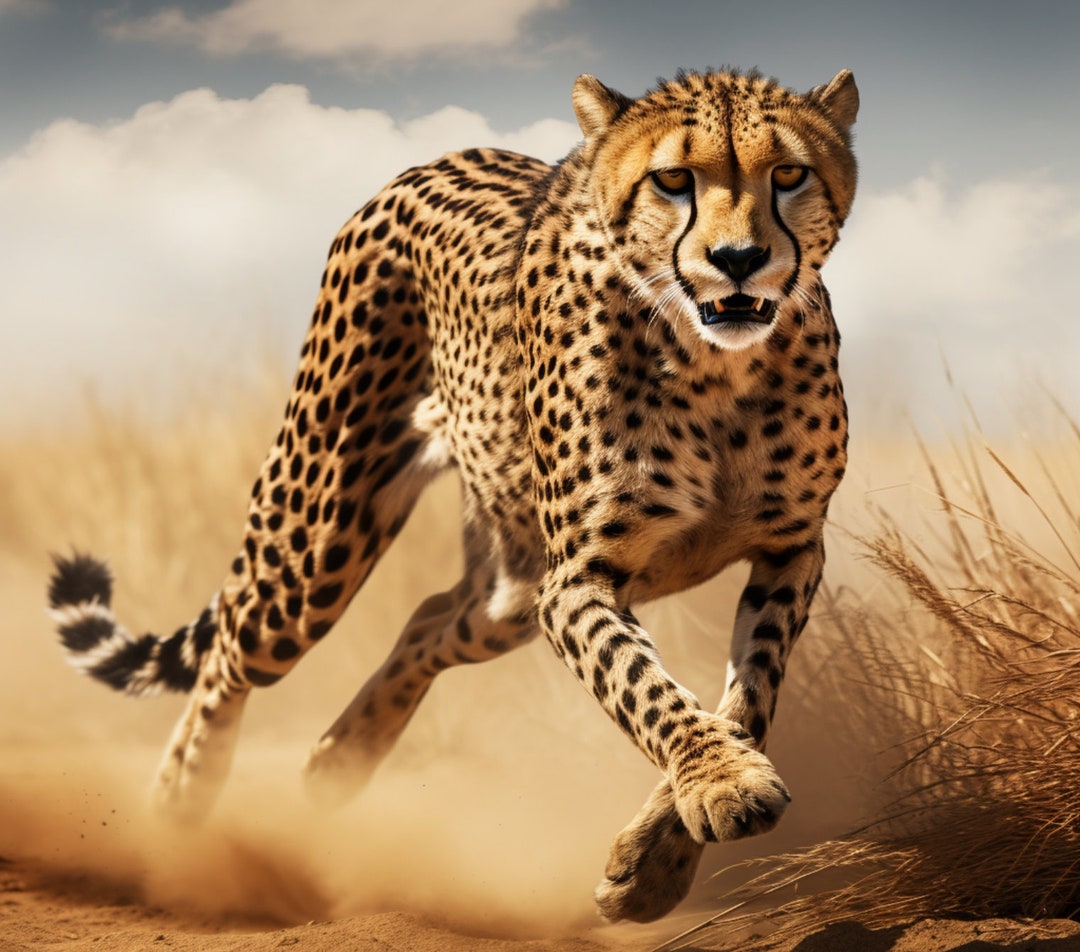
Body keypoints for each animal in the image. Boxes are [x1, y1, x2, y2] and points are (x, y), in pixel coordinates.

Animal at [47, 66, 858, 923]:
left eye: (789, 174)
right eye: (673, 180)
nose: (738, 260)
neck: (719, 366)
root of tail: (433, 160)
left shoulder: (790, 551)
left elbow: (750, 696)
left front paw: (657, 864)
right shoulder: (578, 580)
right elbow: (646, 688)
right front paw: (719, 786)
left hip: (507, 597)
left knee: (429, 620)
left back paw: (342, 757)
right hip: (320, 544)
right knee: (235, 641)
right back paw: (179, 800)